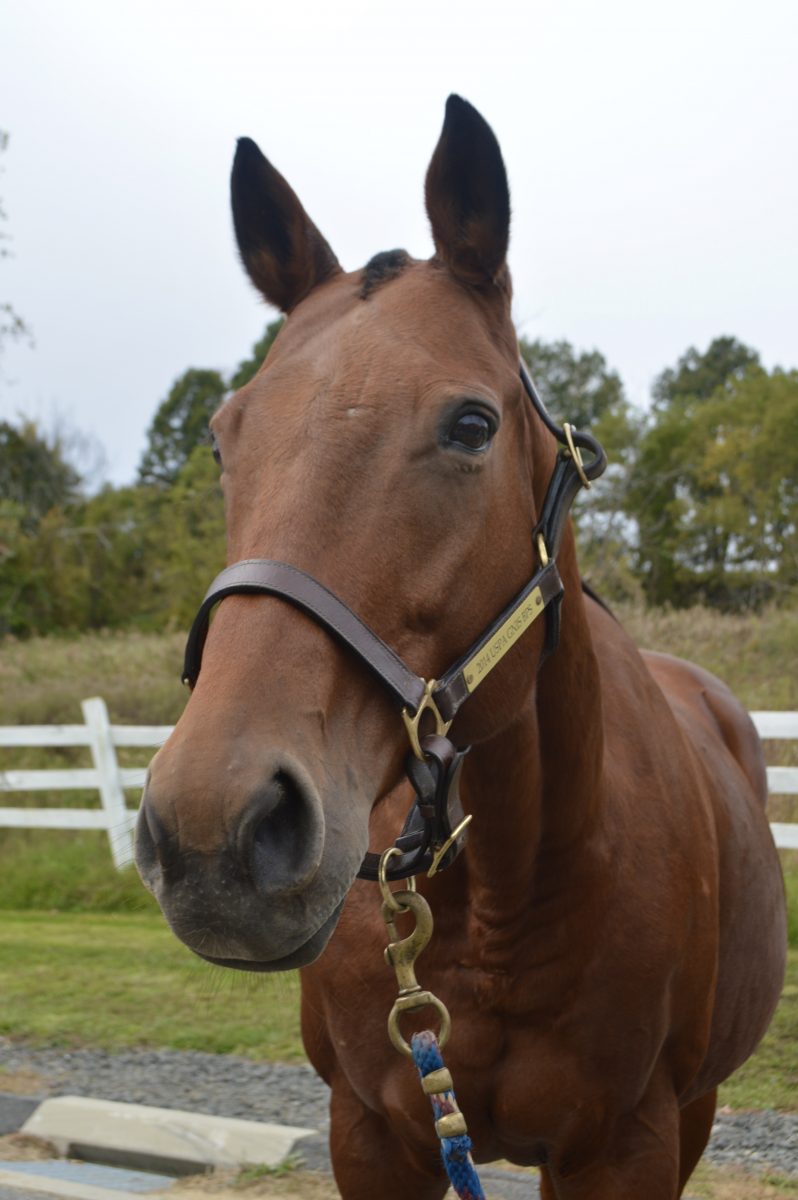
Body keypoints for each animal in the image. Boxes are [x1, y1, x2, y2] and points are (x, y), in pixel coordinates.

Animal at [135, 95, 786, 1199]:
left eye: (473, 425)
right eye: (224, 437)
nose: (213, 829)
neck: (502, 902)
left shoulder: (630, 1145)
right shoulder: (371, 1132)